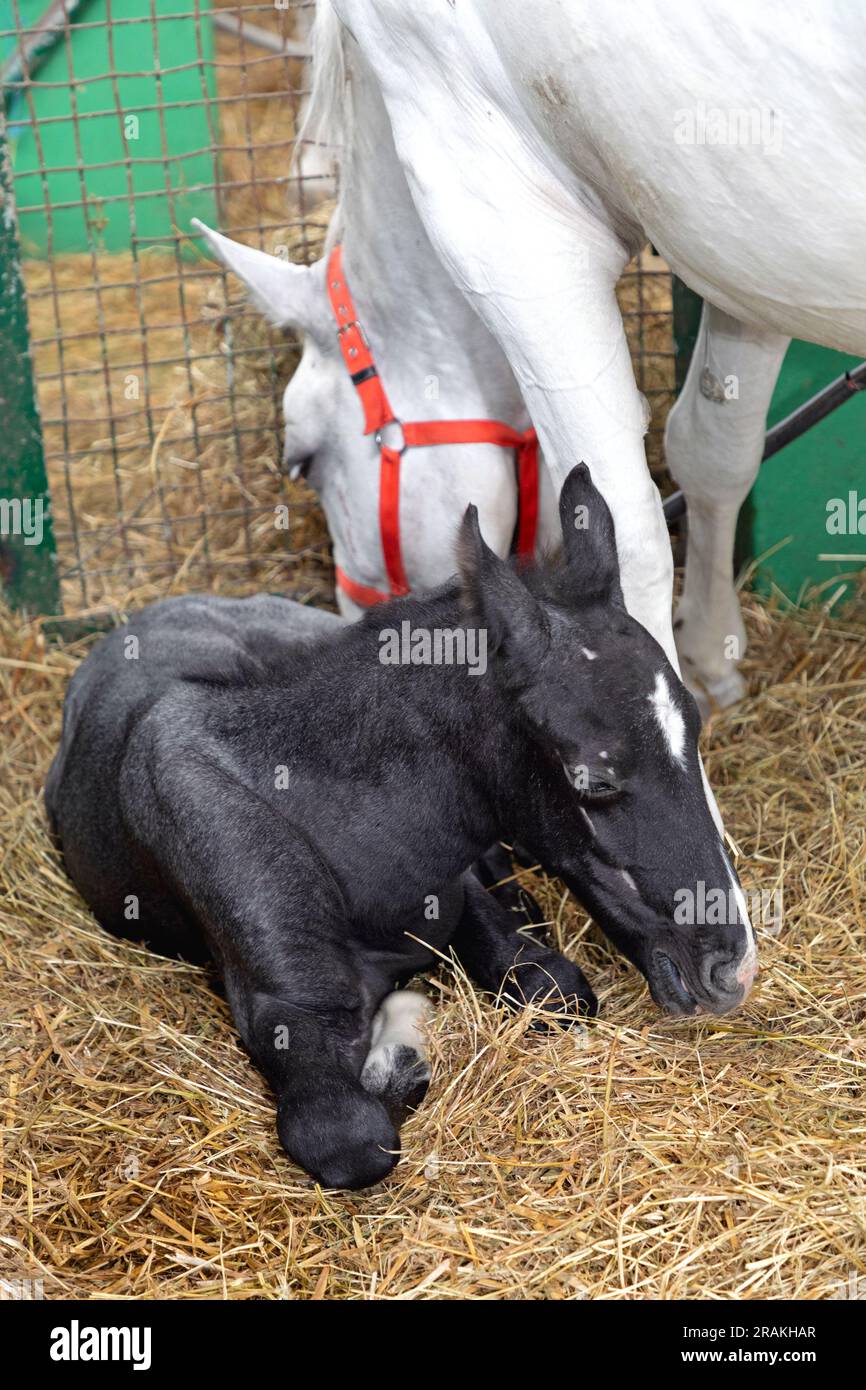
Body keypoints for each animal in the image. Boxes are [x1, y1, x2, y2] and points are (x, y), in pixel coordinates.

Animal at [45, 465, 756, 1189]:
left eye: (696, 729)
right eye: (596, 779)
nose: (731, 966)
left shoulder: (461, 888)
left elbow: (553, 987)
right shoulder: (288, 1014)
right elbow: (356, 1139)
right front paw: (404, 1024)